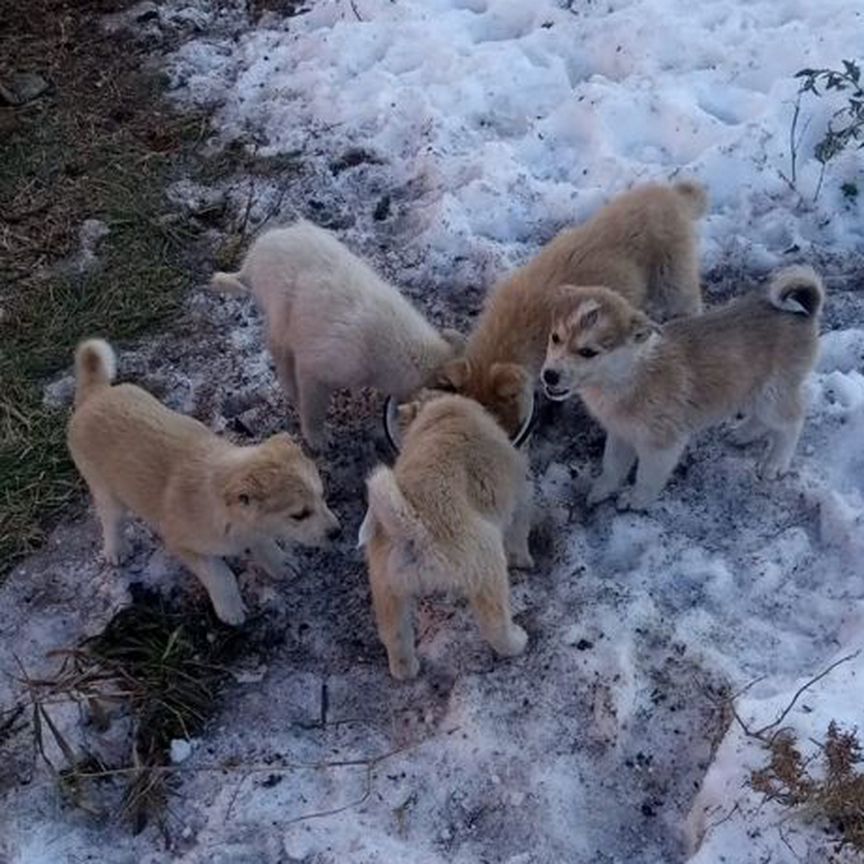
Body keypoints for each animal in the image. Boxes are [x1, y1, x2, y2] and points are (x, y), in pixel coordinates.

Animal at [66, 340, 340, 628]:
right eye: (299, 514)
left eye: (322, 497)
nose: (337, 532)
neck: (222, 507)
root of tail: (95, 393)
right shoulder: (182, 543)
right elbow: (221, 574)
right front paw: (231, 609)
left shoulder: (252, 528)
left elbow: (263, 542)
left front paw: (280, 563)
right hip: (105, 490)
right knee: (112, 521)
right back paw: (117, 550)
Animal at [212, 219, 462, 448]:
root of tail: (256, 253)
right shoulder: (316, 369)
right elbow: (313, 408)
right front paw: (318, 439)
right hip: (280, 314)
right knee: (281, 355)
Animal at [354, 394, 528, 680]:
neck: (443, 412)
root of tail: (412, 527)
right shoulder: (520, 491)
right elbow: (519, 531)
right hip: (487, 561)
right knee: (495, 624)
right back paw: (516, 641)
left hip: (387, 590)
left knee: (395, 638)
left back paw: (407, 670)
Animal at [544, 266, 828, 510]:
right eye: (555, 337)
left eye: (588, 352)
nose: (549, 376)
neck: (629, 376)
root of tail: (802, 313)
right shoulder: (621, 433)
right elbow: (612, 466)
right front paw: (600, 490)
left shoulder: (661, 444)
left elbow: (646, 477)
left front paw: (636, 500)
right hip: (749, 389)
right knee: (762, 419)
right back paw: (742, 434)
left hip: (772, 394)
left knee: (792, 421)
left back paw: (775, 464)